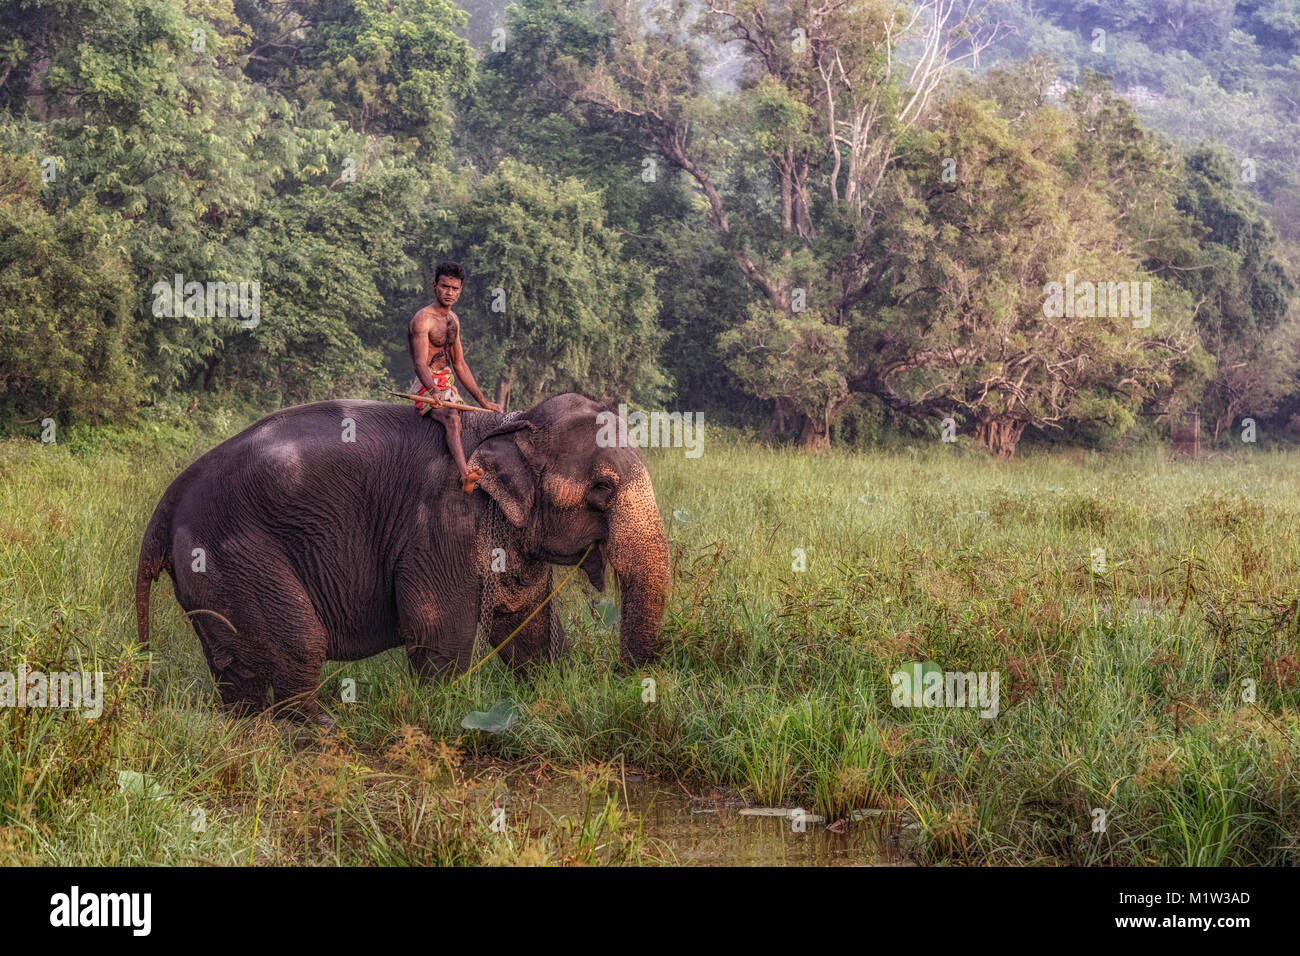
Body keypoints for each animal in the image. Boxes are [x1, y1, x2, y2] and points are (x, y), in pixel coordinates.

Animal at [135, 393, 670, 719]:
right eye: (602, 488)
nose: (620, 679)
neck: (509, 424)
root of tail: (165, 505)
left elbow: (529, 629)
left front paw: (549, 693)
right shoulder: (443, 524)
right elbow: (439, 630)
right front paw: (446, 713)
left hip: (213, 572)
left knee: (238, 665)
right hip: (233, 553)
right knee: (299, 645)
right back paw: (317, 732)